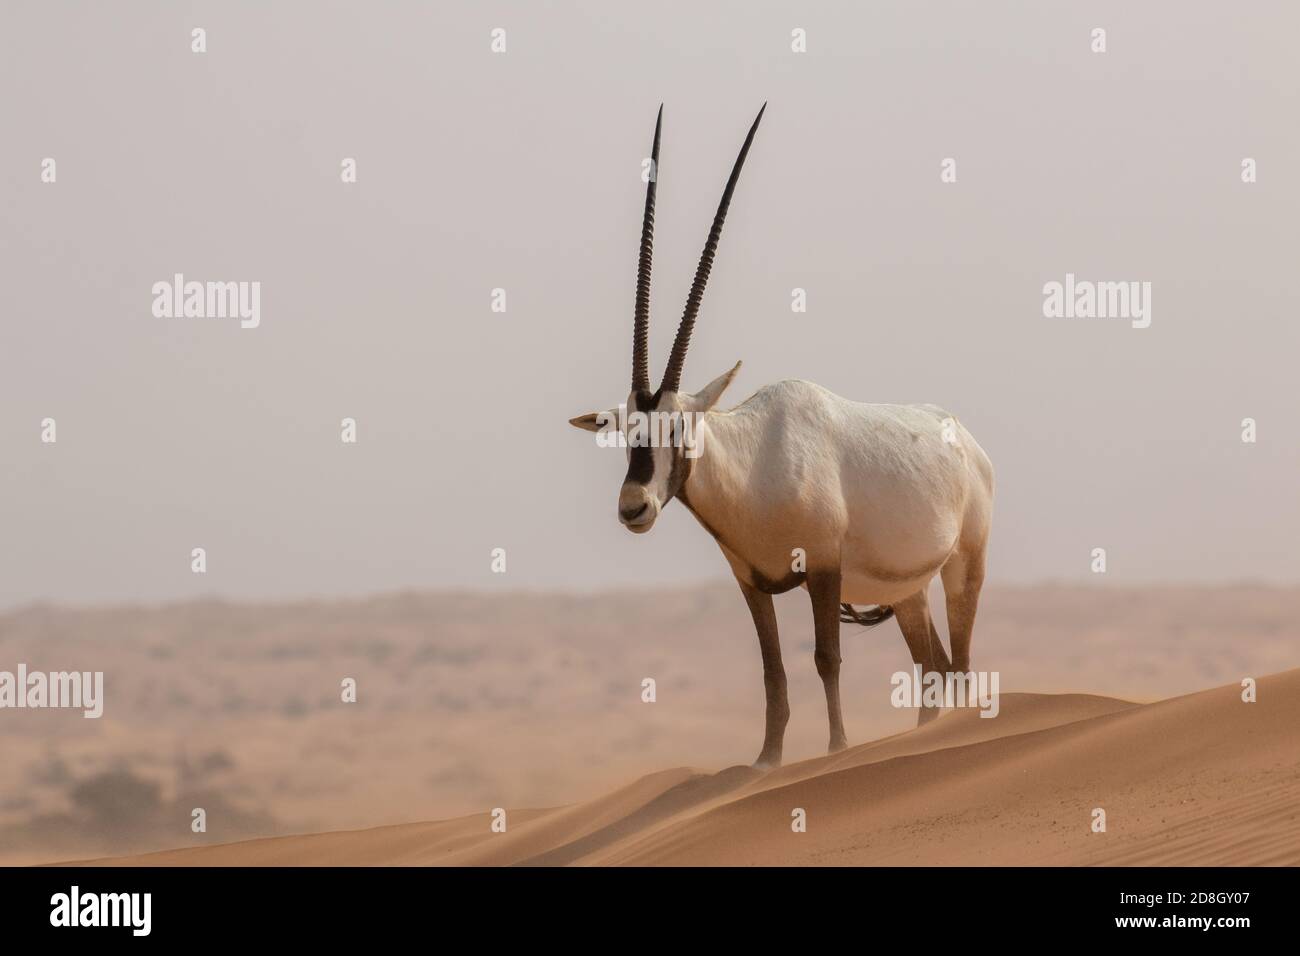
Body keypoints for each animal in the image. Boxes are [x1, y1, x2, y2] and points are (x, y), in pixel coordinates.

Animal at [569, 106, 995, 768]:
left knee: (963, 666)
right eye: (625, 429)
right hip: (908, 593)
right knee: (933, 669)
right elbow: (774, 671)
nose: (633, 507)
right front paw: (767, 761)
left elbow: (826, 658)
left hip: (963, 568)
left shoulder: (821, 568)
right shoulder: (752, 582)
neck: (755, 463)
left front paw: (837, 748)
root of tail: (968, 444)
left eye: (678, 426)